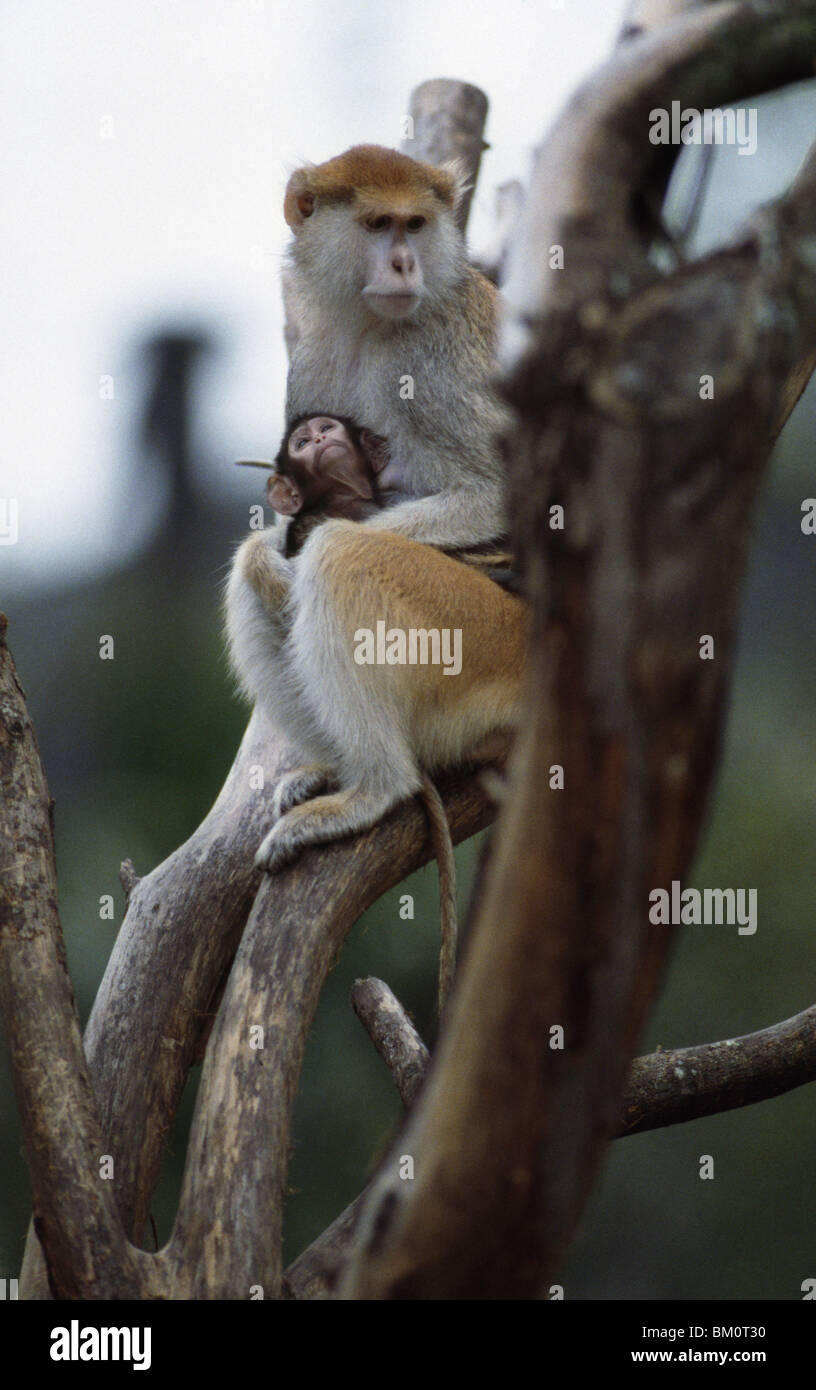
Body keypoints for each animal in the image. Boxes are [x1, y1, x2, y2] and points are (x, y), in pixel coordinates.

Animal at [282, 145, 511, 551]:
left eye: (415, 224)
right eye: (379, 223)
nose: (403, 264)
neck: (367, 328)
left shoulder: (420, 362)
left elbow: (493, 496)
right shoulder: (314, 358)